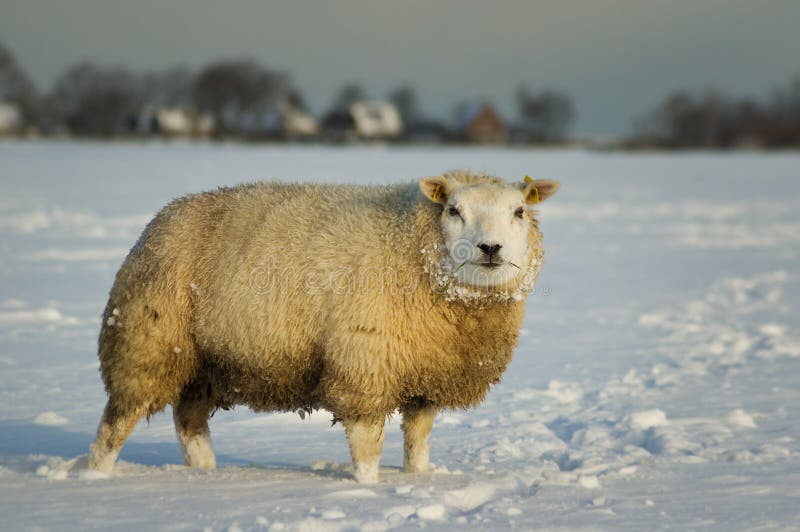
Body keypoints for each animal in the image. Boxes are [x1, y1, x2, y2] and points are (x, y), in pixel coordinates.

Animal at [87, 169, 559, 483]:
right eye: (454, 210)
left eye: (519, 211)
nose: (490, 248)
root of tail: (164, 216)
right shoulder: (364, 365)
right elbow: (367, 451)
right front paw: (369, 492)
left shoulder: (426, 374)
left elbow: (418, 441)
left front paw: (418, 481)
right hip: (145, 340)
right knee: (115, 426)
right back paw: (96, 478)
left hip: (208, 362)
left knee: (189, 421)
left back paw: (205, 474)